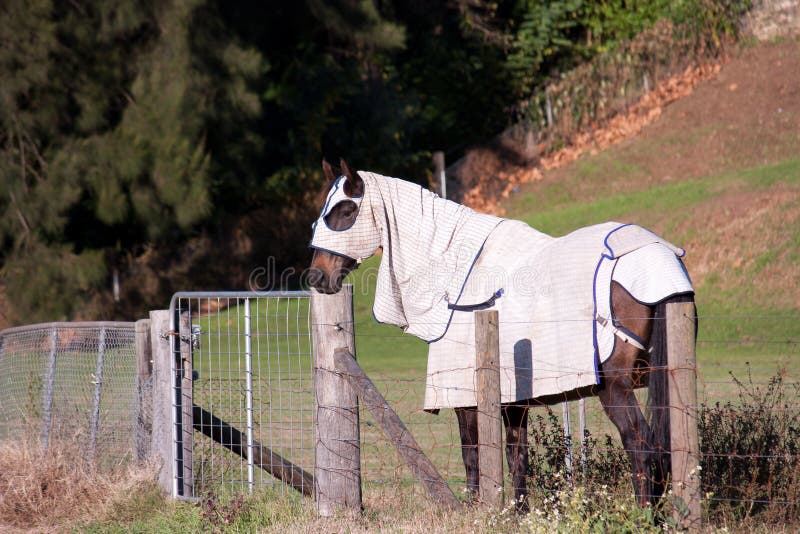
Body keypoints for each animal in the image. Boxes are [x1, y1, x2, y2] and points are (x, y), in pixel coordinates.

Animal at [307, 159, 696, 509]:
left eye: (345, 210)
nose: (316, 276)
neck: (456, 276)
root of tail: (658, 257)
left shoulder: (463, 395)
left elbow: (473, 455)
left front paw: (478, 509)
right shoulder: (513, 398)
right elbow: (517, 457)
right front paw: (518, 513)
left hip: (615, 387)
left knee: (640, 443)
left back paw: (646, 515)